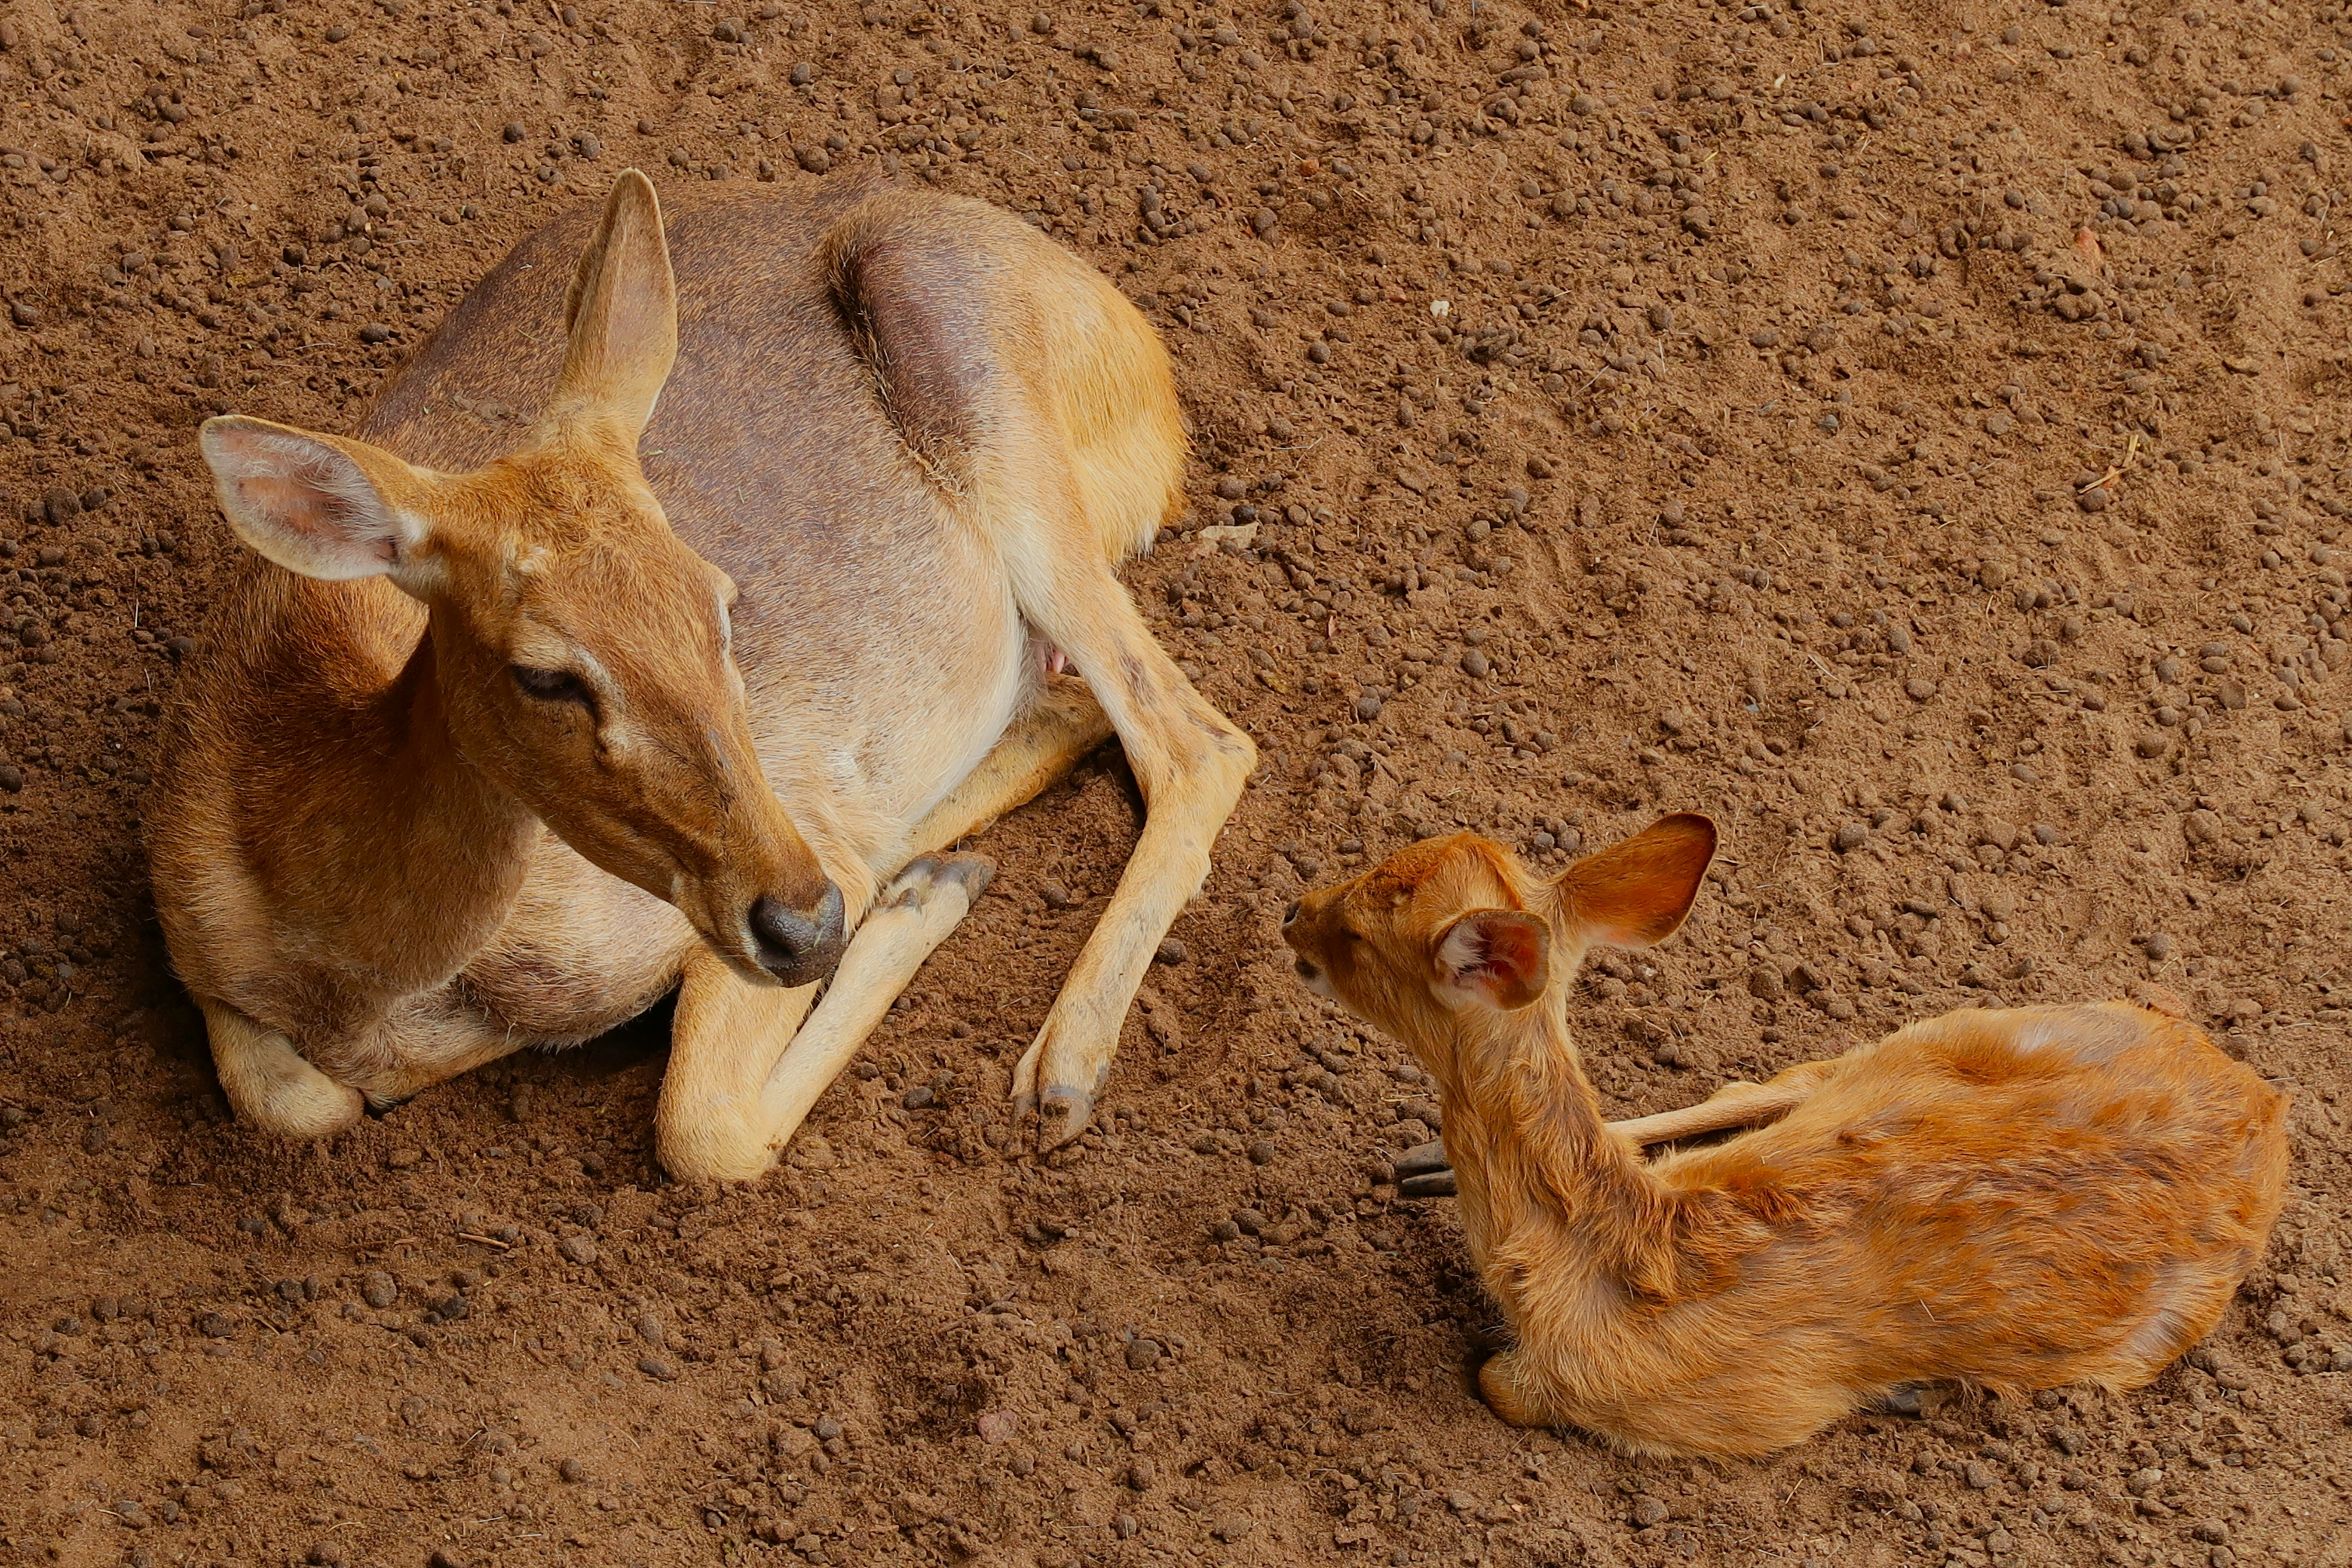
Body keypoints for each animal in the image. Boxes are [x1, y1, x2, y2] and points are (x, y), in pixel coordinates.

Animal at [145, 170, 1257, 1182]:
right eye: (545, 673)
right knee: (1080, 705)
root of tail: (1145, 367)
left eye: (721, 603)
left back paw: (1058, 1063)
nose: (805, 924)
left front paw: (920, 903)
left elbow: (701, 1130)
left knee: (1199, 738)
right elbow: (296, 1099)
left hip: (985, 393)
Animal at [1282, 815, 2291, 1457]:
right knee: (1784, 1078)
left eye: (1364, 929)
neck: (1603, 1254)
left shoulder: (1737, 1412)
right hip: (1969, 1026)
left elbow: (1498, 1380)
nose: (1296, 907)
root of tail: (2265, 1099)